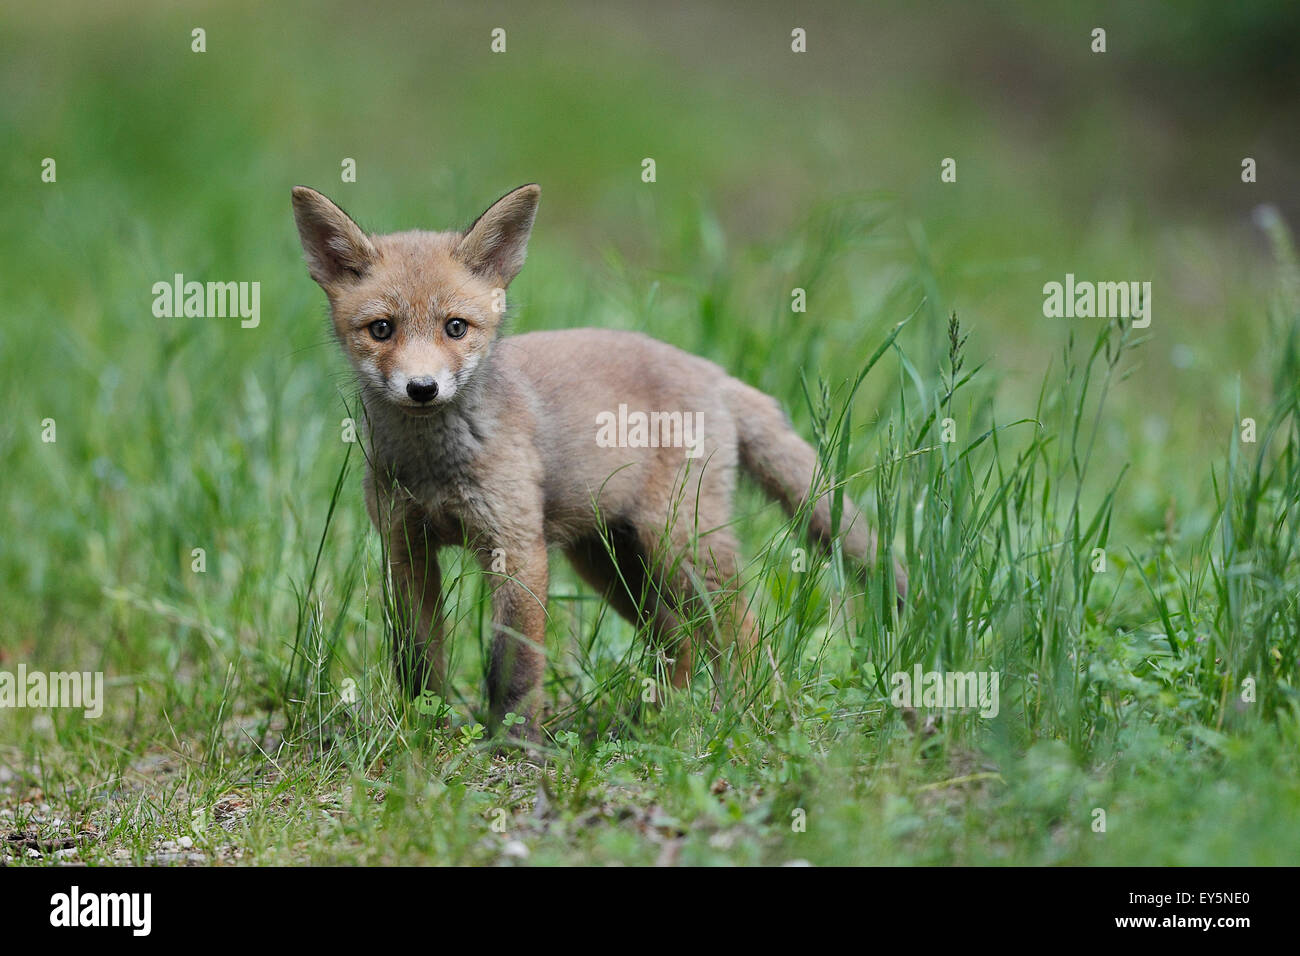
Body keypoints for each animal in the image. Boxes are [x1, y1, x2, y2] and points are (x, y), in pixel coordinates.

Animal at [291, 183, 906, 740]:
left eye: (455, 327)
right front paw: (422, 731)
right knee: (681, 640)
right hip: (613, 562)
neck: (432, 466)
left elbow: (515, 665)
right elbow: (417, 662)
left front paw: (513, 744)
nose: (423, 388)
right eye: (382, 329)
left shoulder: (517, 547)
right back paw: (656, 721)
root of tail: (715, 372)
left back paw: (759, 717)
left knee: (743, 630)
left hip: (680, 546)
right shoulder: (405, 547)